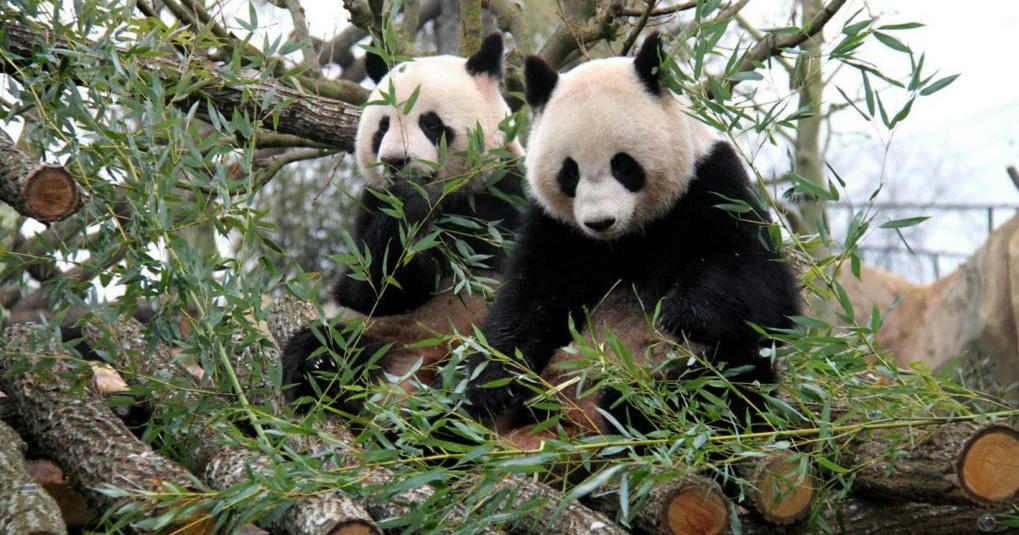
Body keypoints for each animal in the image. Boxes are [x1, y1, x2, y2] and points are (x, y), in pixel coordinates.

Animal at [282, 33, 526, 413]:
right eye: (382, 127)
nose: (396, 161)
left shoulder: (505, 194)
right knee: (328, 343)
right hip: (377, 335)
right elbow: (366, 288)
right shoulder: (371, 206)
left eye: (431, 123)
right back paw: (322, 367)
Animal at [460, 33, 801, 443]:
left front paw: (682, 312)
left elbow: (760, 280)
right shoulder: (559, 229)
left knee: (716, 385)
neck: (627, 237)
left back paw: (635, 409)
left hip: (699, 376)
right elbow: (529, 299)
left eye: (622, 165)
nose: (600, 221)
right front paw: (491, 383)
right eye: (569, 172)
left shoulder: (711, 184)